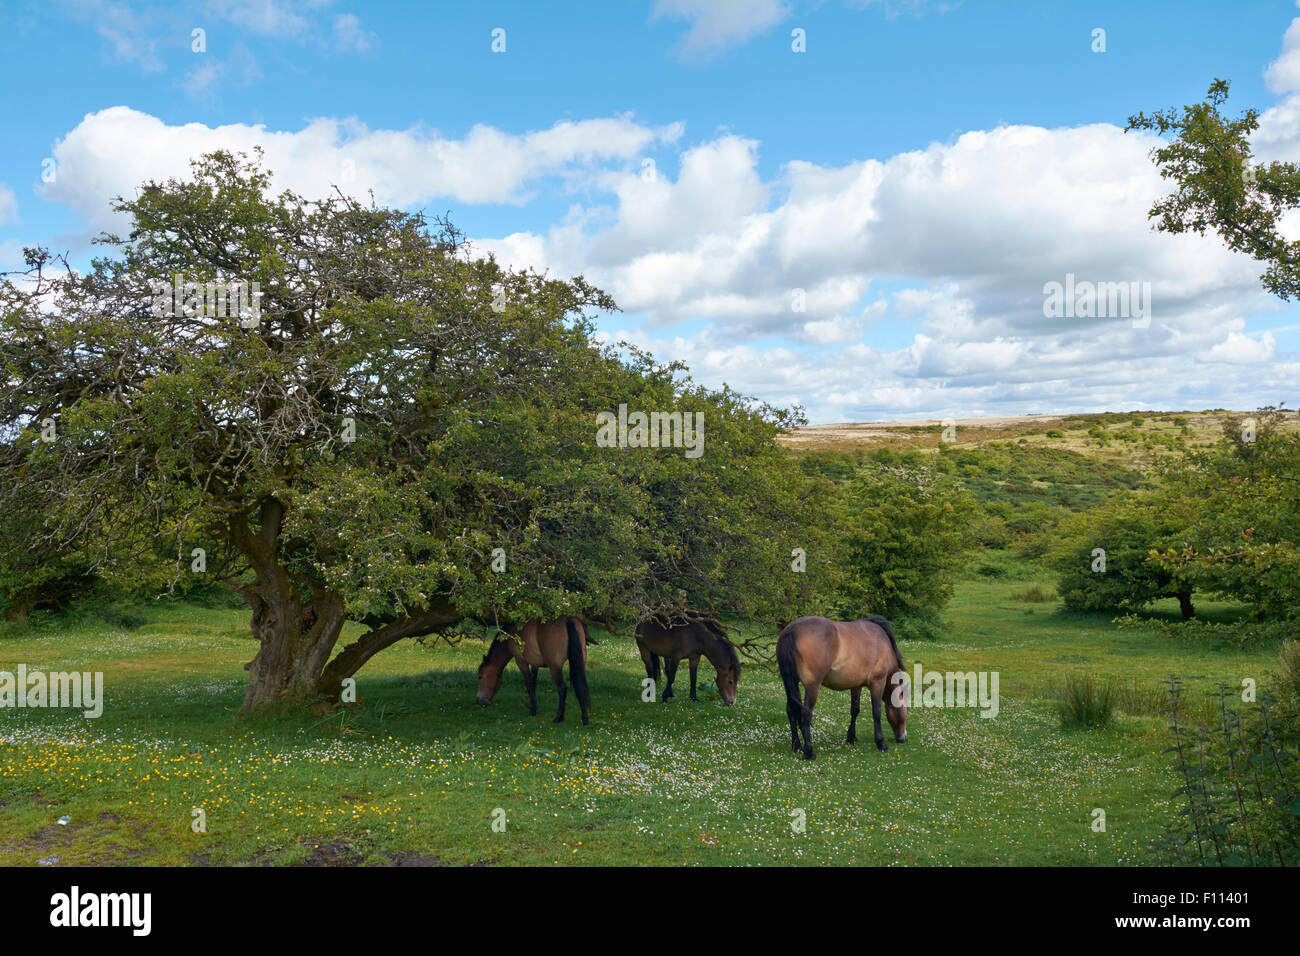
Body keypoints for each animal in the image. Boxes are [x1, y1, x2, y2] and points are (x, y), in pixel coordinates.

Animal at [776, 614, 906, 760]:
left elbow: (855, 710)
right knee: (805, 714)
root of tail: (791, 630)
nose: (902, 738)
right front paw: (881, 743)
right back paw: (809, 752)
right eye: (904, 709)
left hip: (790, 682)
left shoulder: (856, 686)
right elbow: (876, 712)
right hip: (812, 686)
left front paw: (851, 737)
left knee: (791, 711)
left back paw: (797, 746)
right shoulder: (878, 682)